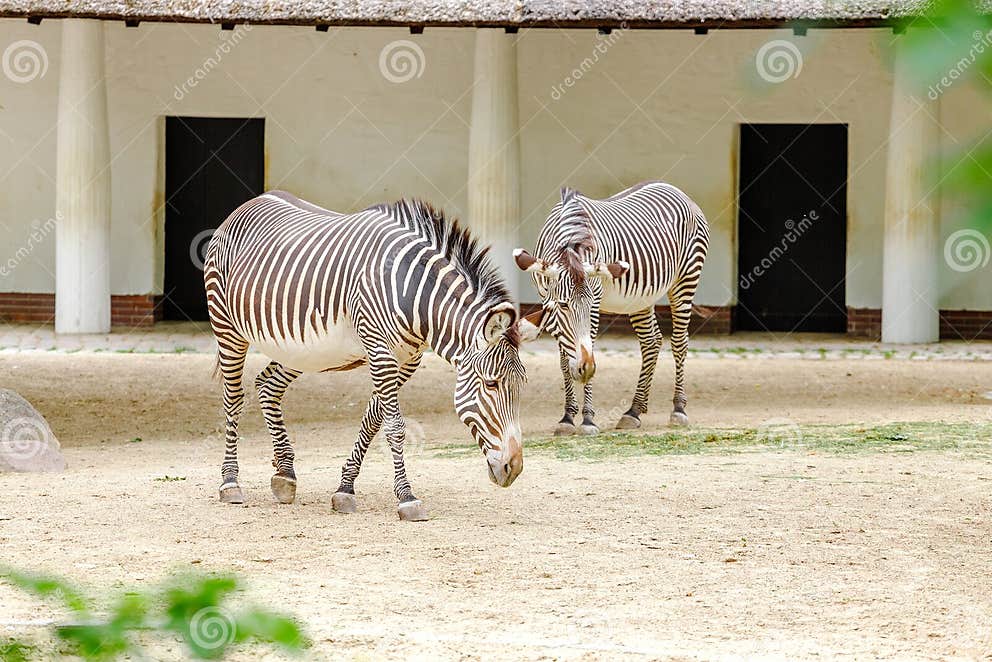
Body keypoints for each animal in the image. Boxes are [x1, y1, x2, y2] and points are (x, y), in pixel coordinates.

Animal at [203, 190, 530, 521]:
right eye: (491, 384)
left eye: (521, 386)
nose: (514, 469)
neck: (414, 295)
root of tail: (252, 201)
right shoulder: (379, 348)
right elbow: (395, 427)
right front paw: (407, 499)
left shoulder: (407, 359)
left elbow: (373, 421)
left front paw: (345, 489)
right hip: (226, 326)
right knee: (233, 399)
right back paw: (230, 483)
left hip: (302, 349)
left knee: (268, 386)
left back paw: (285, 475)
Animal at [514, 182, 709, 435]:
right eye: (564, 305)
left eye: (590, 306)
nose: (586, 369)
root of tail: (676, 189)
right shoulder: (550, 307)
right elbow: (565, 361)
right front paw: (567, 417)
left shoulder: (595, 301)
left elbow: (588, 348)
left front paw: (587, 420)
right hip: (640, 297)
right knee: (651, 341)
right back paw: (634, 411)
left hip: (686, 278)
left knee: (679, 342)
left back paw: (678, 409)